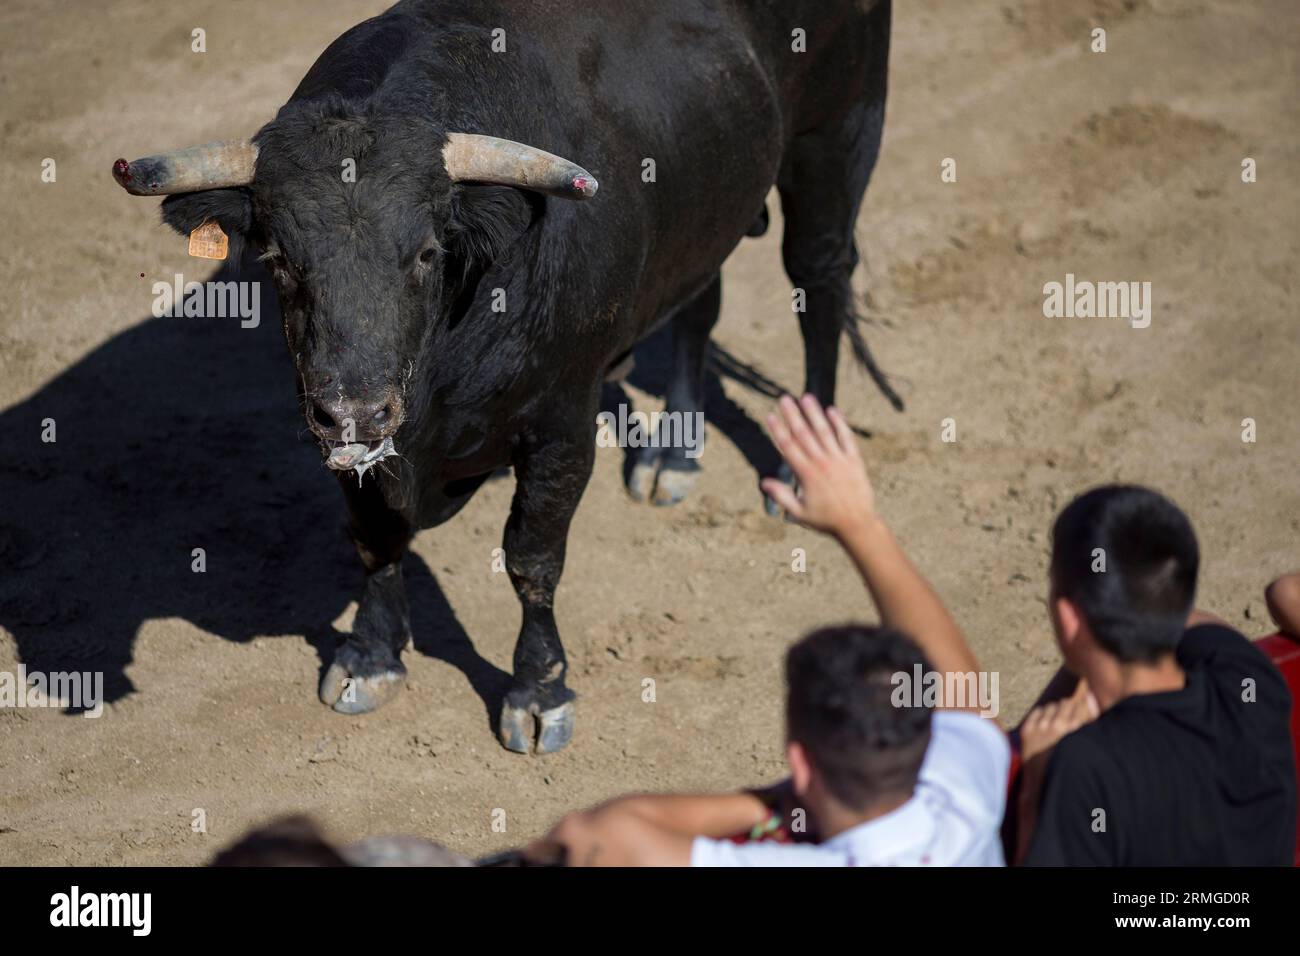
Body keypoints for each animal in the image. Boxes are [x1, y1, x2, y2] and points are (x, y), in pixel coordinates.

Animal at [112, 0, 900, 753]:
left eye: (427, 253)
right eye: (277, 259)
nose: (358, 411)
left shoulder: (562, 425)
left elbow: (531, 555)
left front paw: (539, 692)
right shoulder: (335, 433)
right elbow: (375, 536)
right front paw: (370, 656)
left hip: (836, 141)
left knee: (819, 285)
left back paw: (808, 468)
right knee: (700, 300)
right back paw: (674, 455)